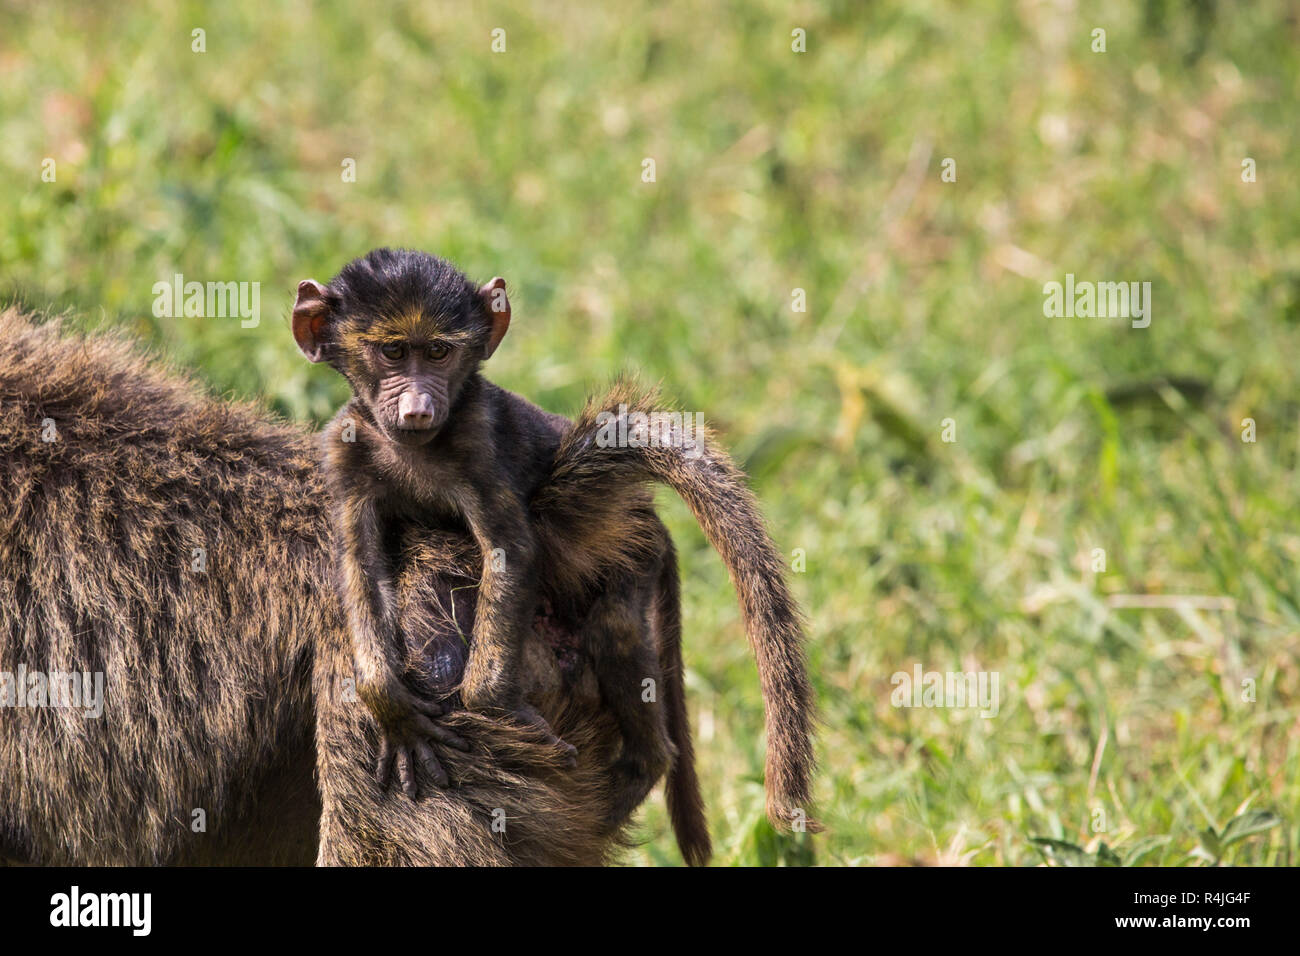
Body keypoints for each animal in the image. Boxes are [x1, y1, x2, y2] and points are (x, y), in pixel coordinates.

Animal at [291, 249, 817, 850]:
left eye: (439, 352)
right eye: (393, 351)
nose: (419, 408)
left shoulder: (478, 443)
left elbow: (512, 550)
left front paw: (495, 712)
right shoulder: (345, 452)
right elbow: (361, 564)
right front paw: (391, 707)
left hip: (627, 555)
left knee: (614, 628)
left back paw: (636, 774)